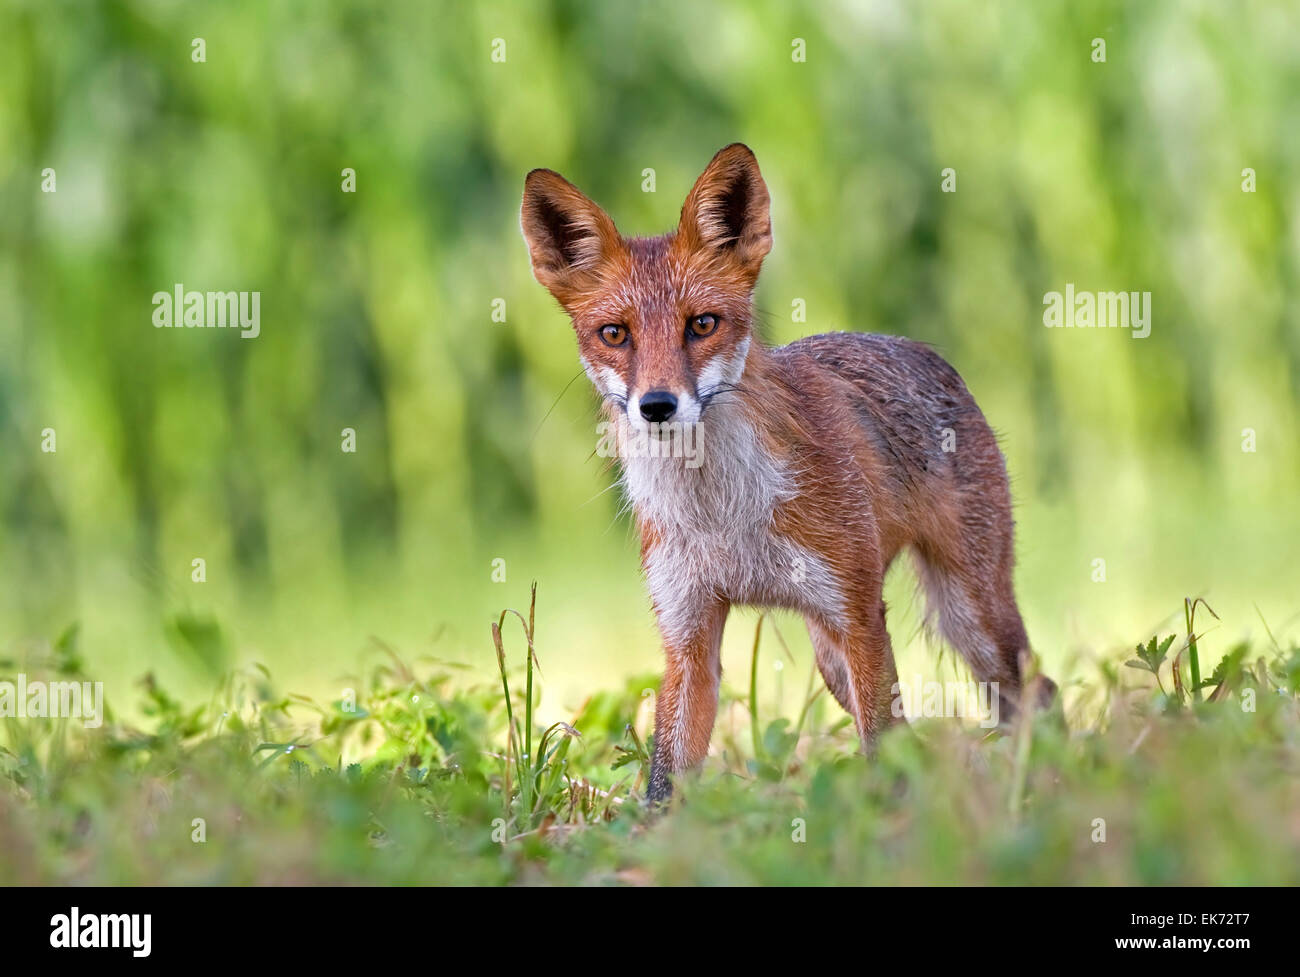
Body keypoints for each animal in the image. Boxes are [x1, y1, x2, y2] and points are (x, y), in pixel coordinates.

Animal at [520, 144, 1057, 804]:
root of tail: (922, 349)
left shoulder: (858, 616)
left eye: (702, 324)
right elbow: (666, 777)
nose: (658, 406)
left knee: (1034, 694)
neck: (722, 514)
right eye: (614, 334)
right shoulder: (687, 635)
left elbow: (880, 742)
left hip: (966, 615)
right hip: (831, 656)